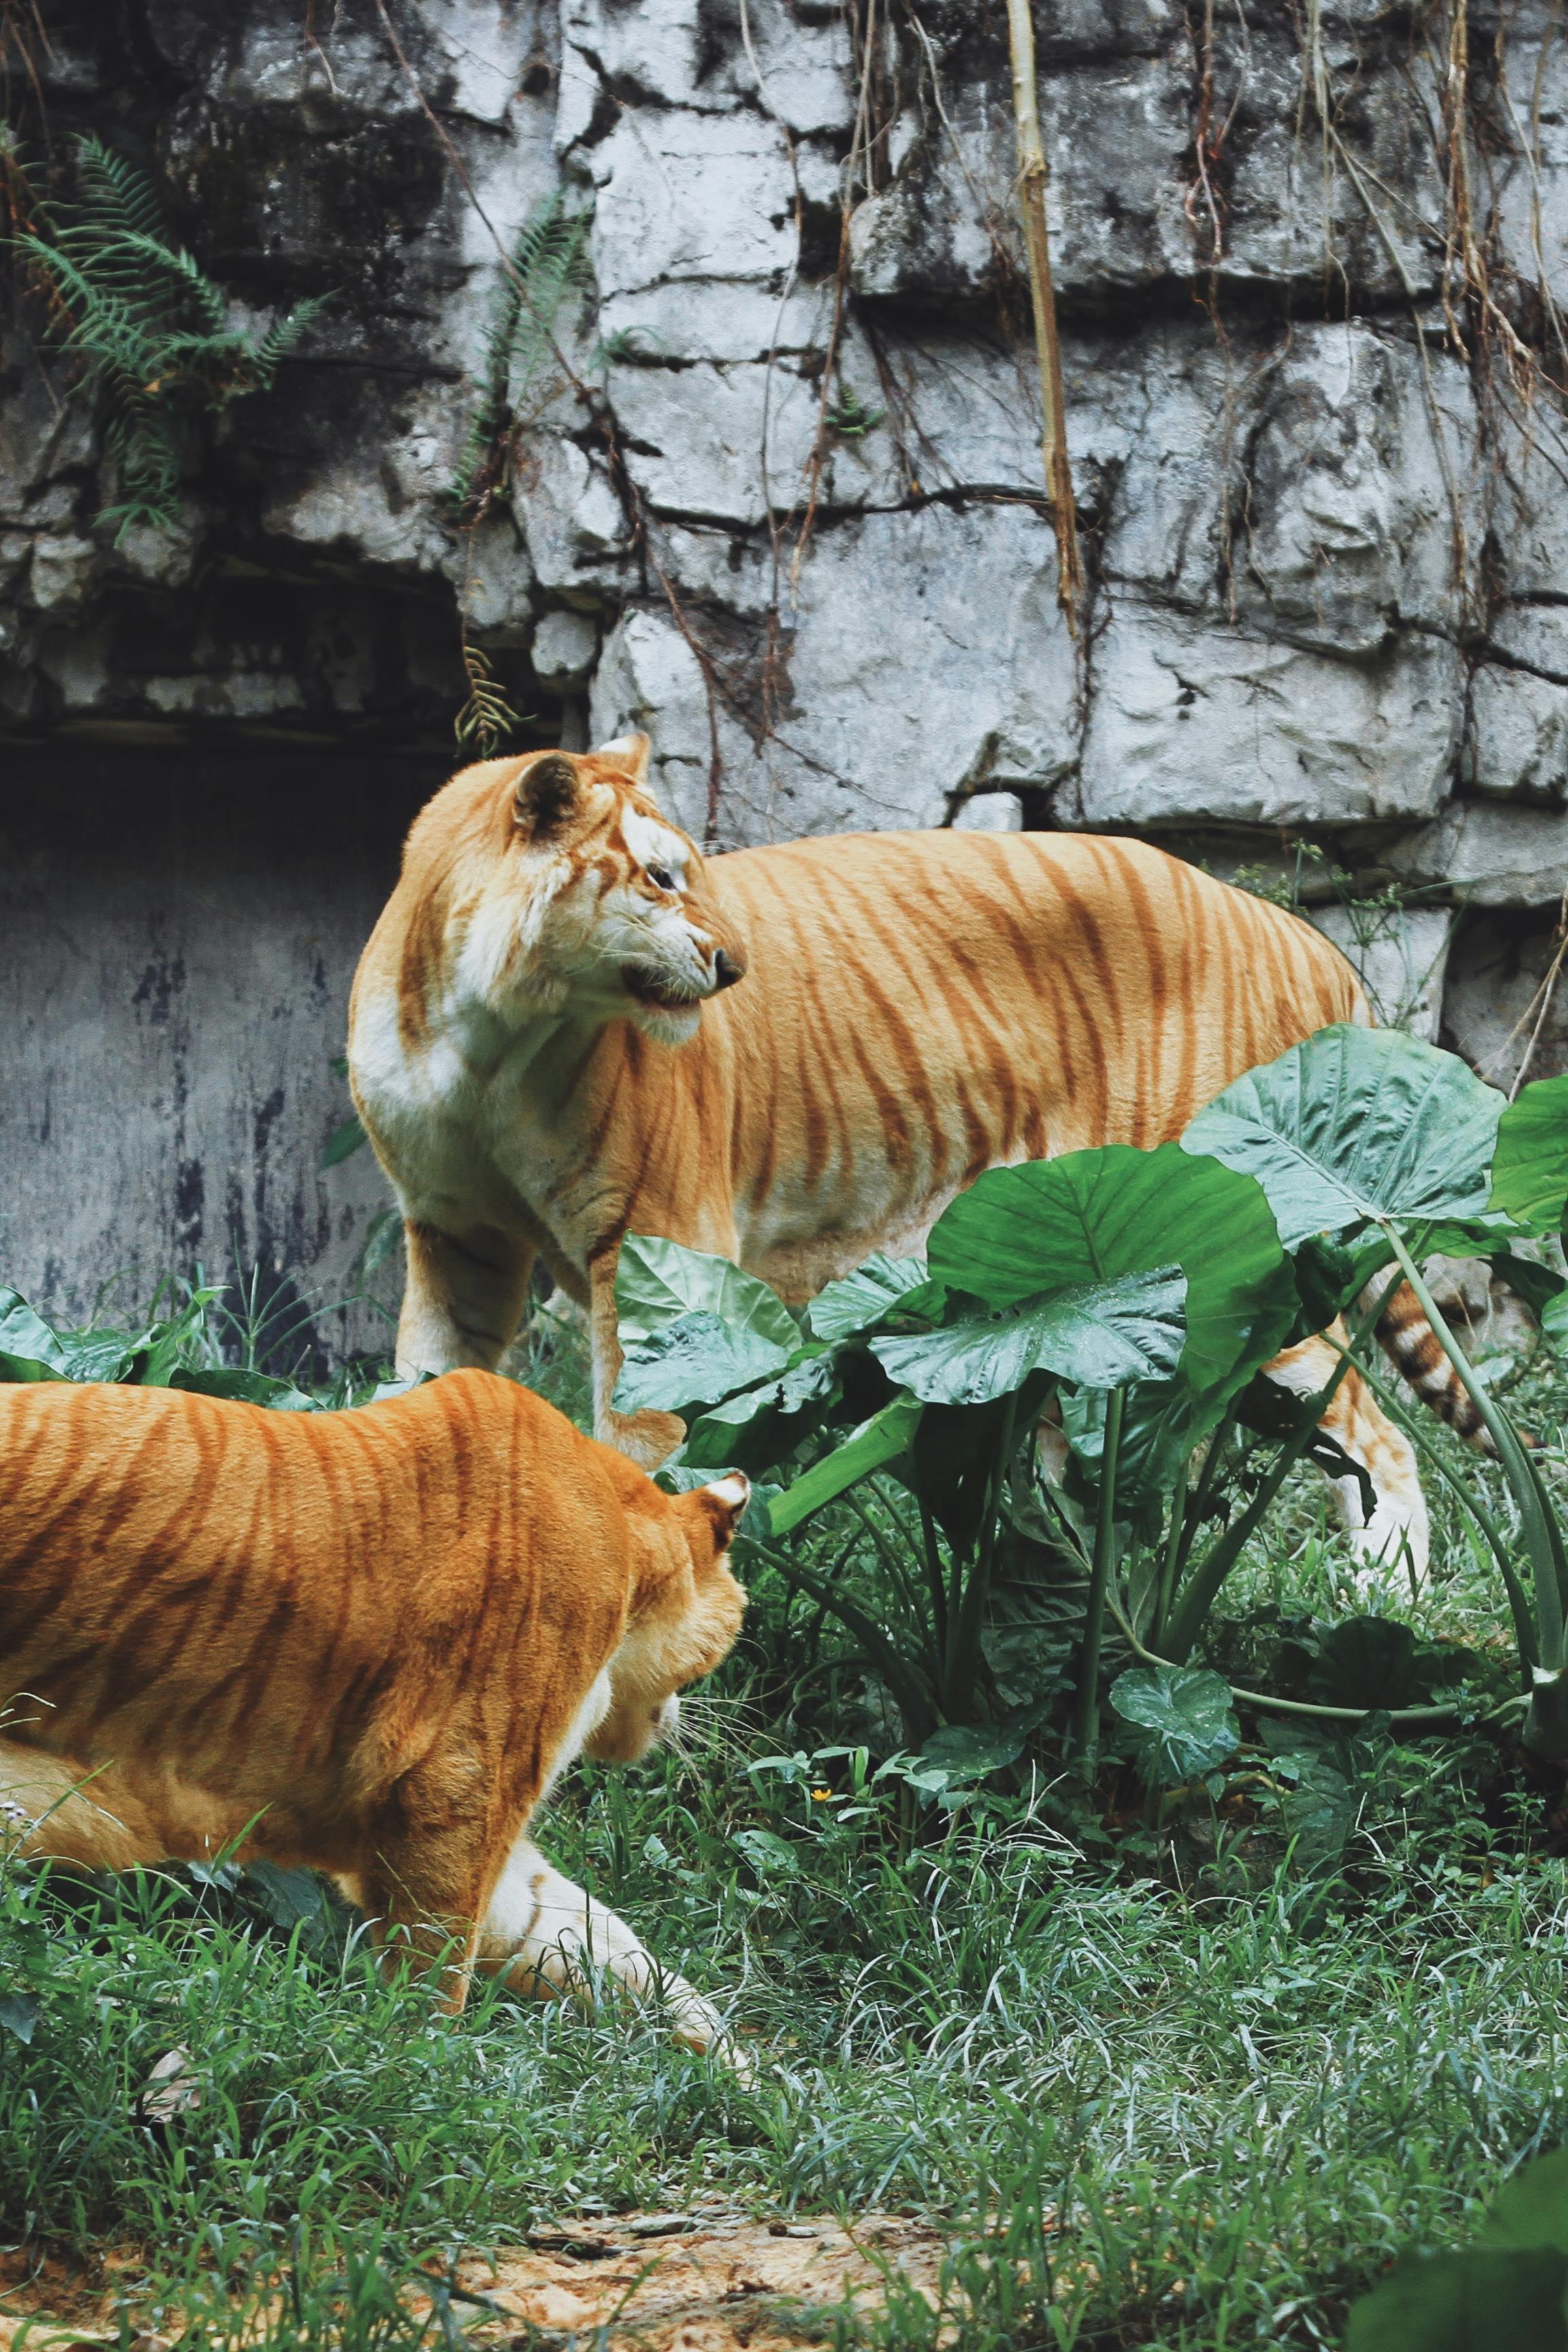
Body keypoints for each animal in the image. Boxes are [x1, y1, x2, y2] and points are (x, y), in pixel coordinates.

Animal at [0, 1368, 750, 2064]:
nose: (677, 1716)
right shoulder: (459, 1788)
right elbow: (439, 1961)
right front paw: (421, 2063)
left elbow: (586, 1935)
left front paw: (729, 2063)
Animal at [347, 731, 1473, 1582]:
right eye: (661, 878)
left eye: (692, 872)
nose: (735, 965)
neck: (489, 1038)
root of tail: (1300, 933)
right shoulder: (455, 1234)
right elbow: (428, 1387)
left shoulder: (655, 1250)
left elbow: (641, 1452)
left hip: (1225, 1249)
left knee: (1368, 1425)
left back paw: (1390, 1591)